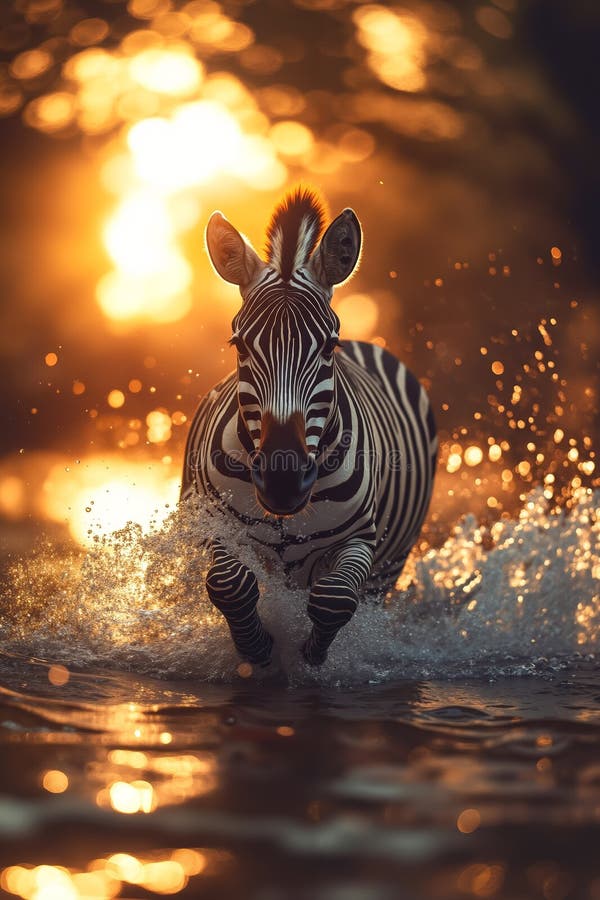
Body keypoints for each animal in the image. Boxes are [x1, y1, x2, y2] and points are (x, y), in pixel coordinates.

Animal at [181, 187, 437, 666]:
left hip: (392, 565)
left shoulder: (359, 540)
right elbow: (230, 585)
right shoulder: (216, 528)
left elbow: (334, 598)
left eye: (328, 347)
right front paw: (258, 650)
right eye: (238, 345)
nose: (283, 479)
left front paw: (310, 654)